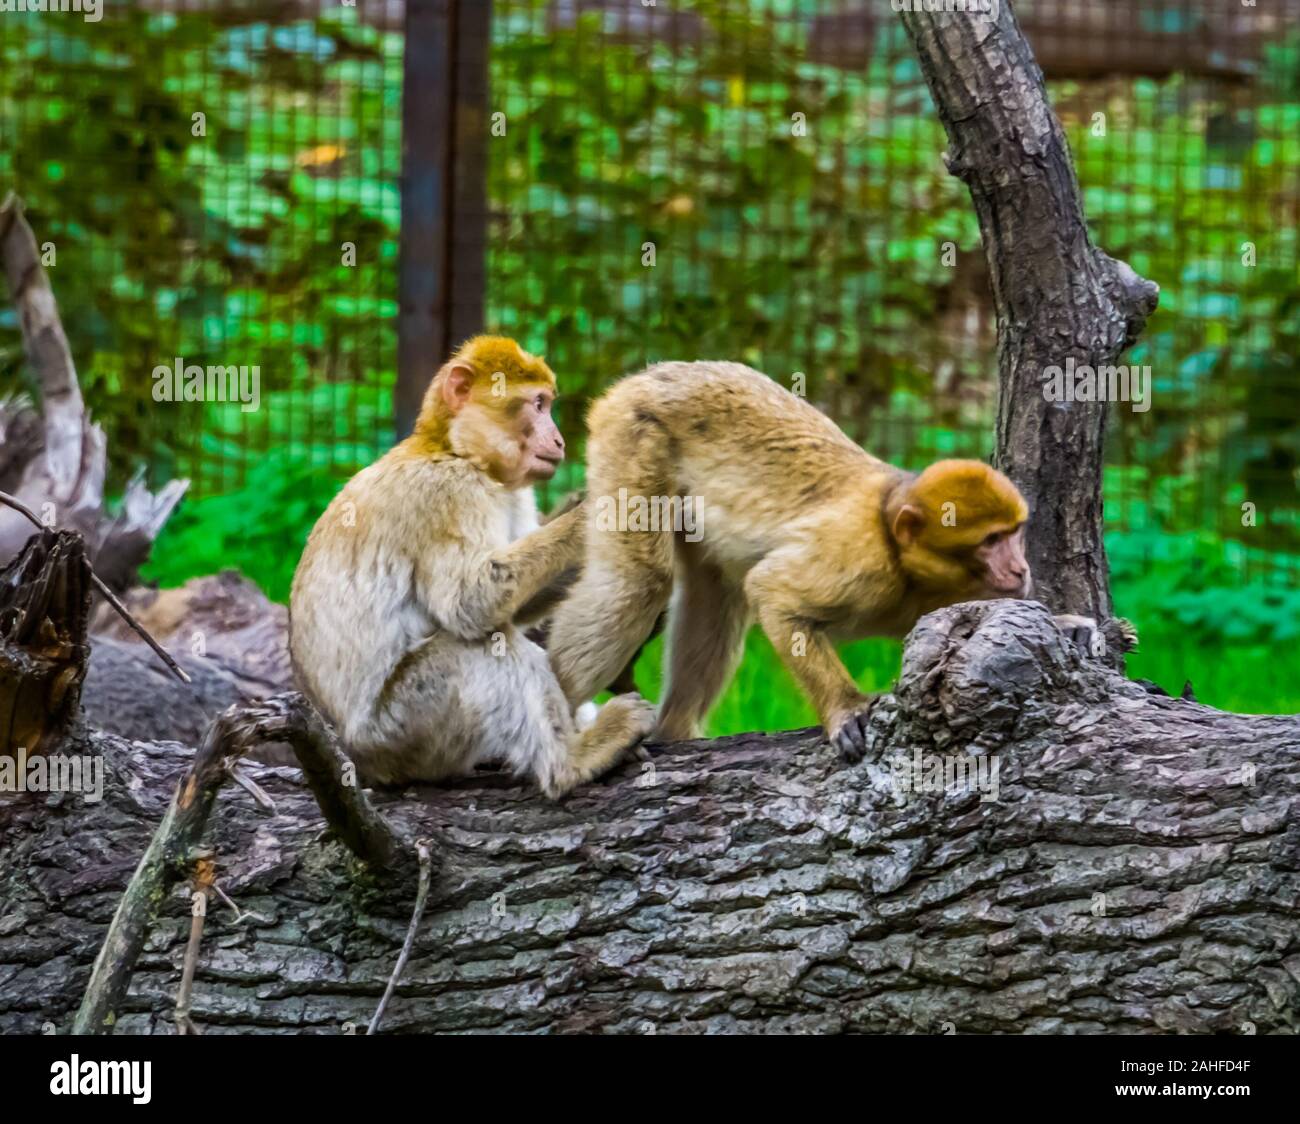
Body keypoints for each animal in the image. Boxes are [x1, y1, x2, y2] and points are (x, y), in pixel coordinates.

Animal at [288, 336, 656, 798]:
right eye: (538, 404)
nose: (558, 440)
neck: (456, 450)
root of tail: (358, 758)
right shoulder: (447, 492)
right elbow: (470, 604)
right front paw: (607, 506)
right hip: (400, 729)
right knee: (481, 647)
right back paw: (569, 761)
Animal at [545, 360, 1104, 762]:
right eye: (991, 541)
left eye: (1015, 534)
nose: (1021, 568)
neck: (902, 559)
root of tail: (644, 378)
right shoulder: (856, 560)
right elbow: (772, 590)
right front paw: (845, 709)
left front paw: (1067, 624)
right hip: (634, 433)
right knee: (640, 581)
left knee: (713, 596)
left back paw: (672, 733)